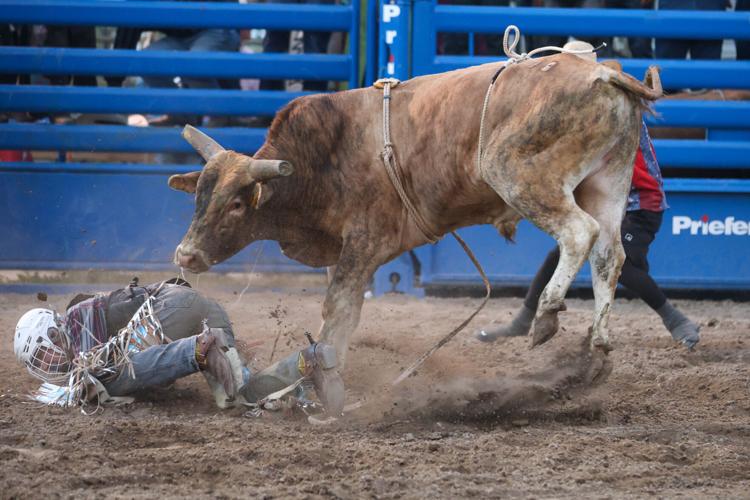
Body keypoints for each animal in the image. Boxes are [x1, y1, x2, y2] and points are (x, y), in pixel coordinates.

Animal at [168, 53, 662, 378]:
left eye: (236, 204)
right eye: (198, 199)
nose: (186, 256)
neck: (321, 158)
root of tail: (603, 73)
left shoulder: (364, 244)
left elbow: (339, 309)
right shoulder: (343, 249)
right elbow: (342, 310)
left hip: (517, 174)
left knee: (579, 233)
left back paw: (548, 313)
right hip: (606, 181)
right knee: (610, 254)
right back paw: (598, 340)